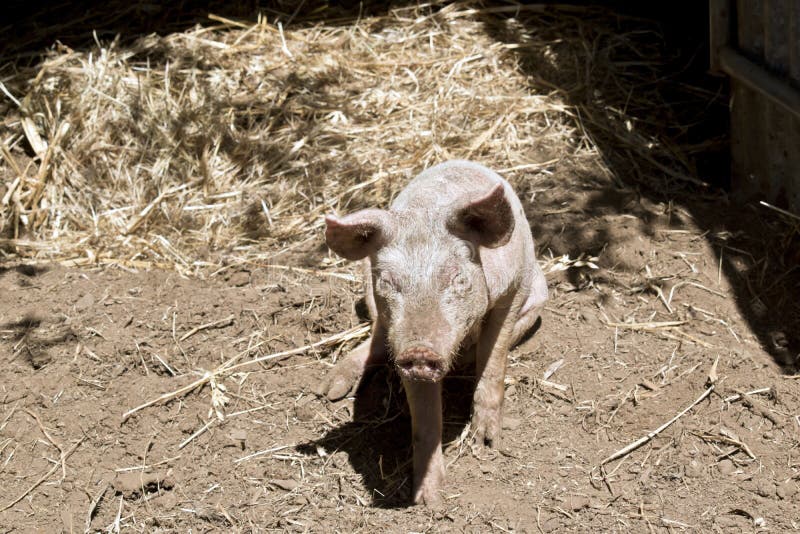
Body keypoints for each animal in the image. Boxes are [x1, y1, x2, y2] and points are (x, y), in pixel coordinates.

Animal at [318, 160, 548, 506]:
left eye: (458, 279)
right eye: (387, 281)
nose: (419, 351)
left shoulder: (514, 288)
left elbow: (493, 360)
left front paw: (487, 443)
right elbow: (424, 420)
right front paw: (430, 501)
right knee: (378, 335)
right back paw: (330, 389)